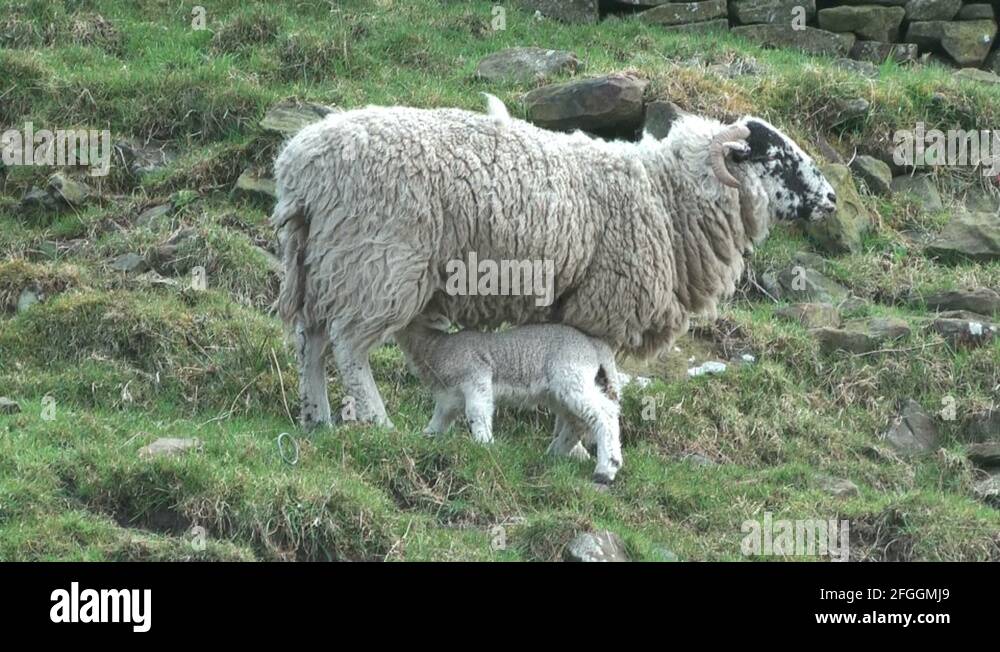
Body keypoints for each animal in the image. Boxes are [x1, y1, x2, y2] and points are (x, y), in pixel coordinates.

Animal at [271, 94, 837, 429]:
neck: (665, 197)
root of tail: (301, 164)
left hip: (326, 261)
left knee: (310, 340)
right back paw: (378, 423)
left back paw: (316, 418)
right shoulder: (600, 307)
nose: (832, 198)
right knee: (348, 346)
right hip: (378, 263)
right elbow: (594, 376)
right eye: (778, 158)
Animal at [394, 315, 623, 483]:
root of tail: (596, 344)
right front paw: (427, 437)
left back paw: (606, 469)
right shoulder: (449, 397)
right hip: (561, 391)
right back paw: (553, 455)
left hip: (572, 375)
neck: (434, 347)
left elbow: (477, 413)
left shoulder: (476, 376)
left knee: (605, 414)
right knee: (579, 421)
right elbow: (439, 420)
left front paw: (484, 445)